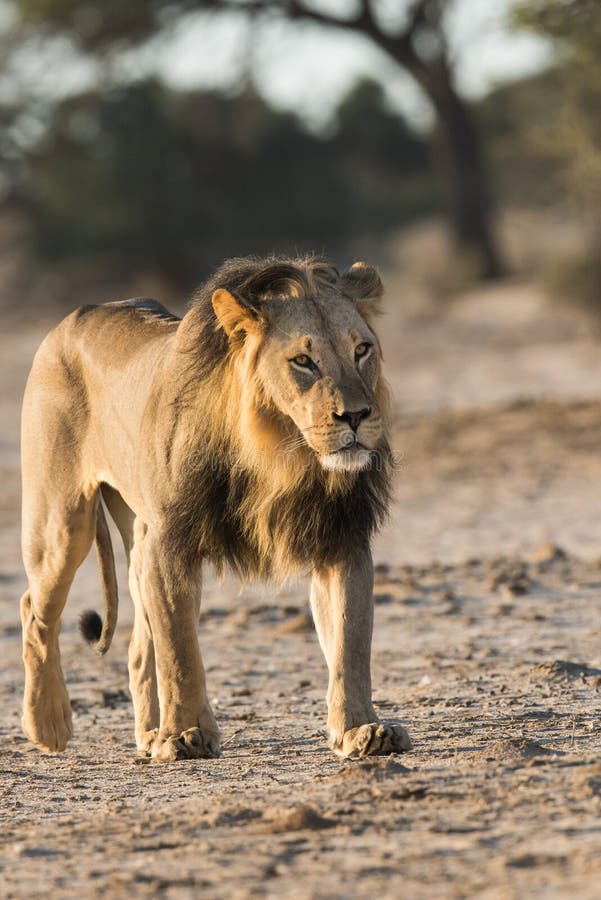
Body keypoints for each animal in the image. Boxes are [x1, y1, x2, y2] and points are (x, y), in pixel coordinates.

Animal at [20, 255, 412, 761]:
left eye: (362, 349)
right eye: (303, 361)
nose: (357, 416)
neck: (281, 456)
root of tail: (73, 316)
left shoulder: (340, 536)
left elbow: (351, 643)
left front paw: (363, 730)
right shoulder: (171, 541)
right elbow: (181, 651)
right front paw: (185, 735)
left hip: (136, 533)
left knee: (139, 646)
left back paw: (148, 734)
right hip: (63, 525)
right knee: (35, 610)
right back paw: (48, 724)